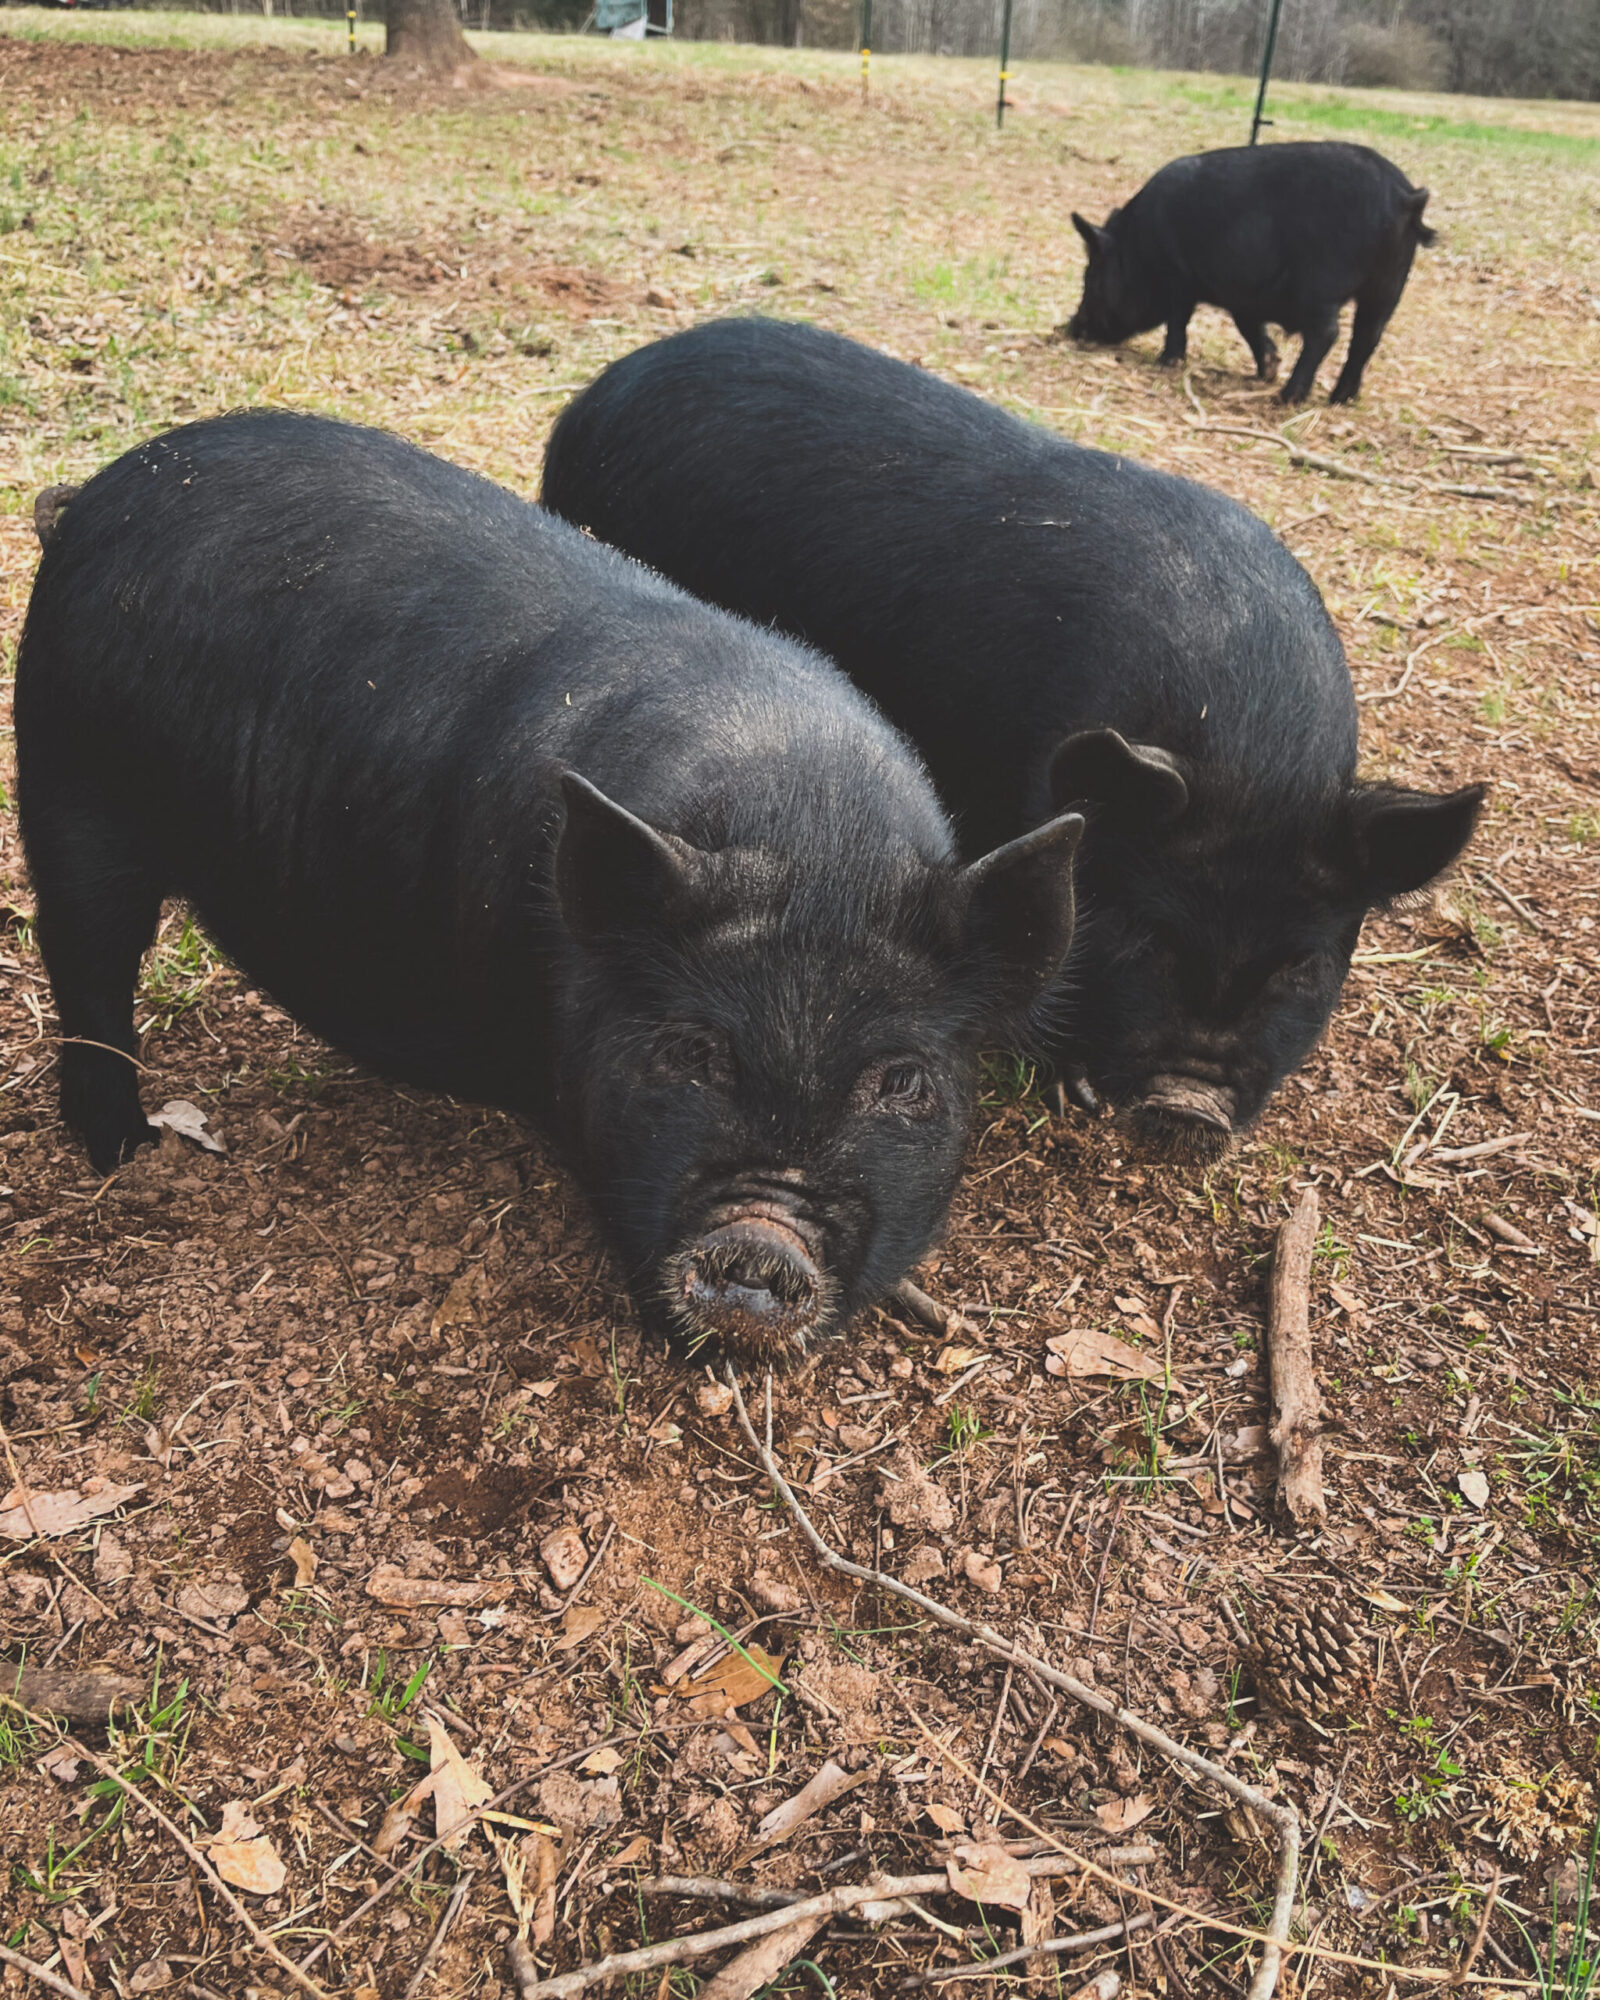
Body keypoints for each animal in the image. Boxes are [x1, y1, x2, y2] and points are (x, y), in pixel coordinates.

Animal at [16, 410, 1083, 1364]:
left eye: (904, 1081)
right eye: (689, 1051)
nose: (759, 1237)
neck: (813, 835)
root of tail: (98, 499)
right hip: (67, 780)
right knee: (88, 960)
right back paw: (126, 1152)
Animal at [1066, 141, 1435, 404]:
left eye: (1091, 278)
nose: (1069, 327)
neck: (1137, 249)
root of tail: (1404, 195)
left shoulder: (1180, 278)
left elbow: (1179, 320)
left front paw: (1166, 362)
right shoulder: (1241, 296)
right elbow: (1247, 327)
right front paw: (1267, 371)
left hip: (1323, 282)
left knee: (1328, 332)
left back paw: (1287, 398)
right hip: (1389, 284)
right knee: (1368, 335)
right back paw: (1340, 399)